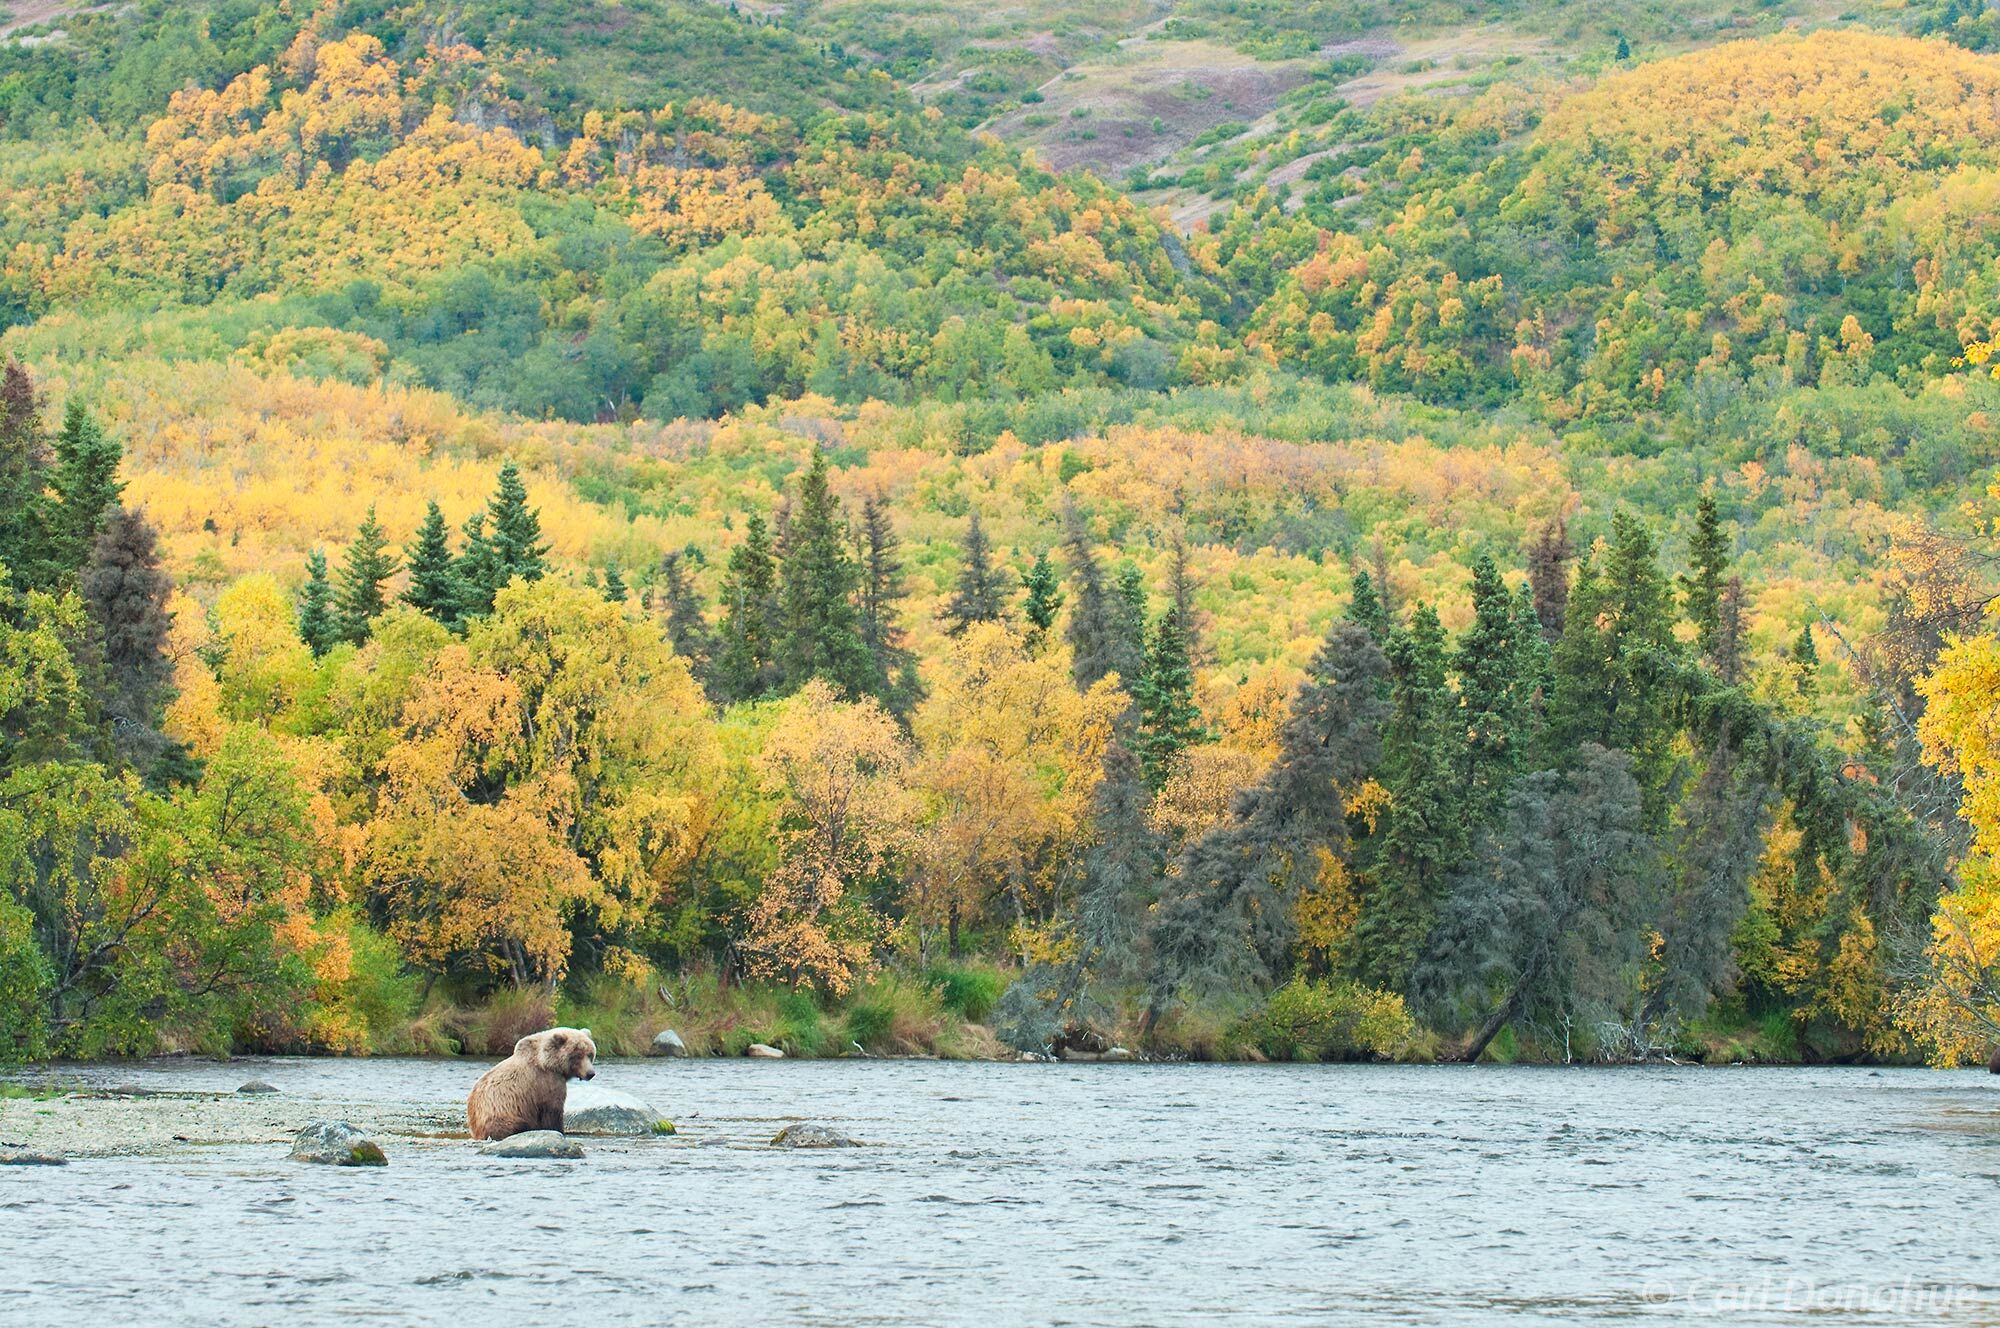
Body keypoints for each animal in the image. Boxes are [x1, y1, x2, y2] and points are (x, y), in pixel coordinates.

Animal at [466, 1026, 598, 1141]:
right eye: (577, 1055)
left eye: (590, 1054)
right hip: (500, 1115)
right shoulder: (546, 1082)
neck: (547, 1063)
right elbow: (553, 1110)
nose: (590, 1073)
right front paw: (559, 1130)